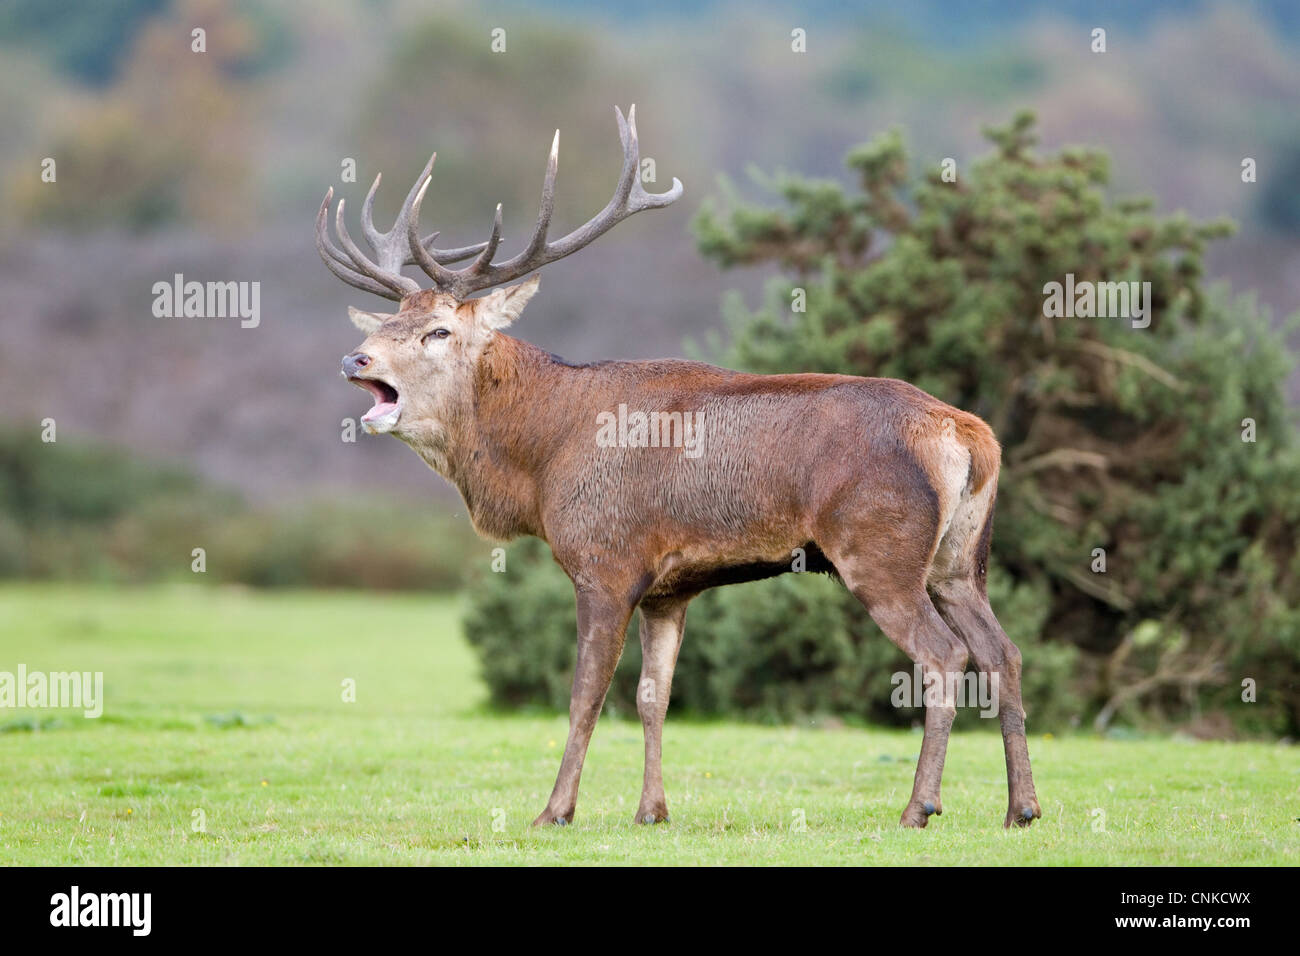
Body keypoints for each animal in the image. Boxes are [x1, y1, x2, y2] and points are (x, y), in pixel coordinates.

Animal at [316, 105, 1041, 830]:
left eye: (438, 330)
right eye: (386, 321)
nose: (355, 358)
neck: (542, 460)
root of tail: (968, 434)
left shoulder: (605, 560)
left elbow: (586, 694)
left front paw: (555, 811)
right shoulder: (668, 588)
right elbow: (651, 695)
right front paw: (652, 810)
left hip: (879, 547)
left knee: (945, 653)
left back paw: (920, 806)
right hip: (959, 560)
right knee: (1002, 651)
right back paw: (1021, 808)